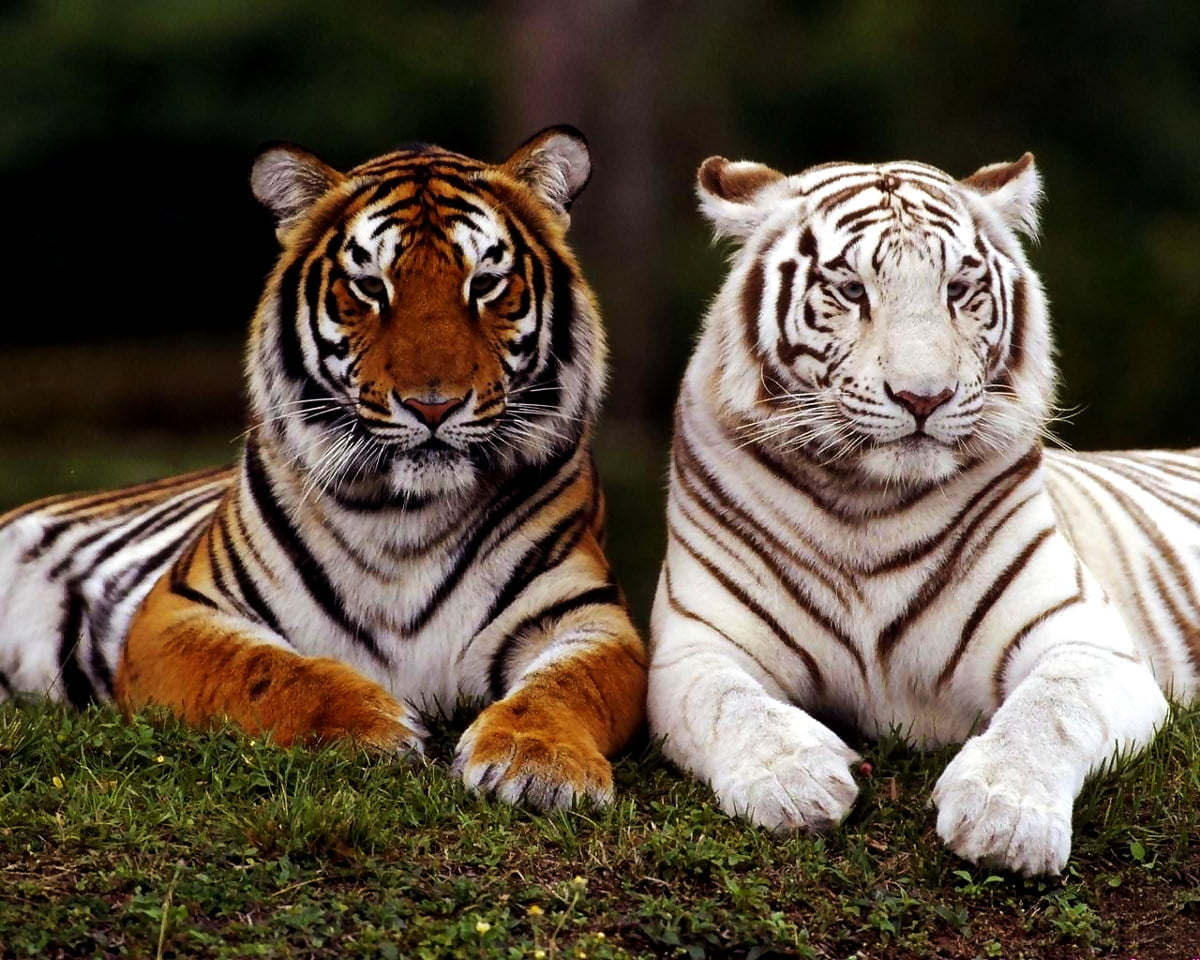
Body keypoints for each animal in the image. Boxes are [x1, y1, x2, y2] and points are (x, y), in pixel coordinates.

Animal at [0, 126, 647, 810]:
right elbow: (266, 671)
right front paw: (372, 725)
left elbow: (568, 685)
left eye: (486, 284)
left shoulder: (590, 617)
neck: (407, 516)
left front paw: (539, 761)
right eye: (370, 287)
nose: (433, 405)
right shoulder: (178, 612)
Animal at [648, 151, 1200, 875]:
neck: (867, 504)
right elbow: (729, 702)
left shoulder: (1088, 641)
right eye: (851, 289)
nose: (923, 397)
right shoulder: (694, 645)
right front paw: (793, 782)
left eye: (959, 289)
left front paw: (1003, 816)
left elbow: (1049, 709)